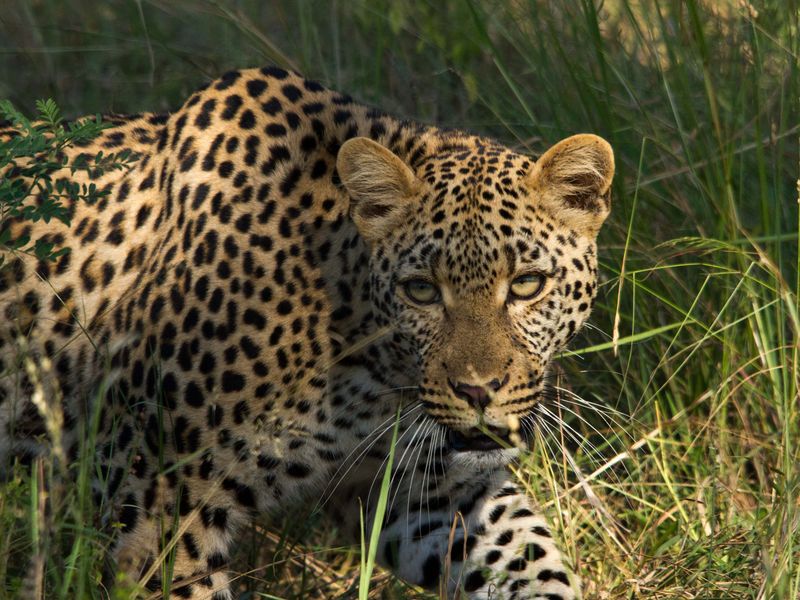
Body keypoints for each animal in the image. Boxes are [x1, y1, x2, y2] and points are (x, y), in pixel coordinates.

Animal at [0, 66, 614, 599]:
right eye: (421, 291)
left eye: (528, 284)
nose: (478, 391)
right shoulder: (153, 502)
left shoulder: (420, 490)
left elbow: (528, 559)